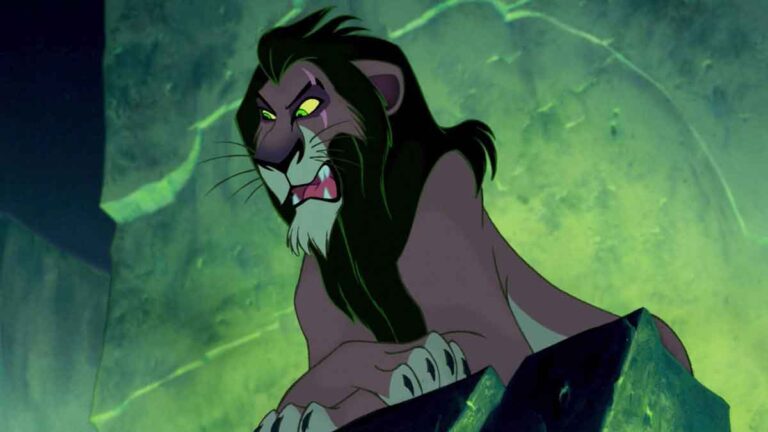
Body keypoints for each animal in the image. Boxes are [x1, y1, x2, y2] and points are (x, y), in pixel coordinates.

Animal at [235, 9, 692, 432]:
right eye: (266, 117)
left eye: (309, 105)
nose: (272, 160)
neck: (358, 227)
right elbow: (331, 365)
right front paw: (294, 417)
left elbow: (350, 358)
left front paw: (421, 365)